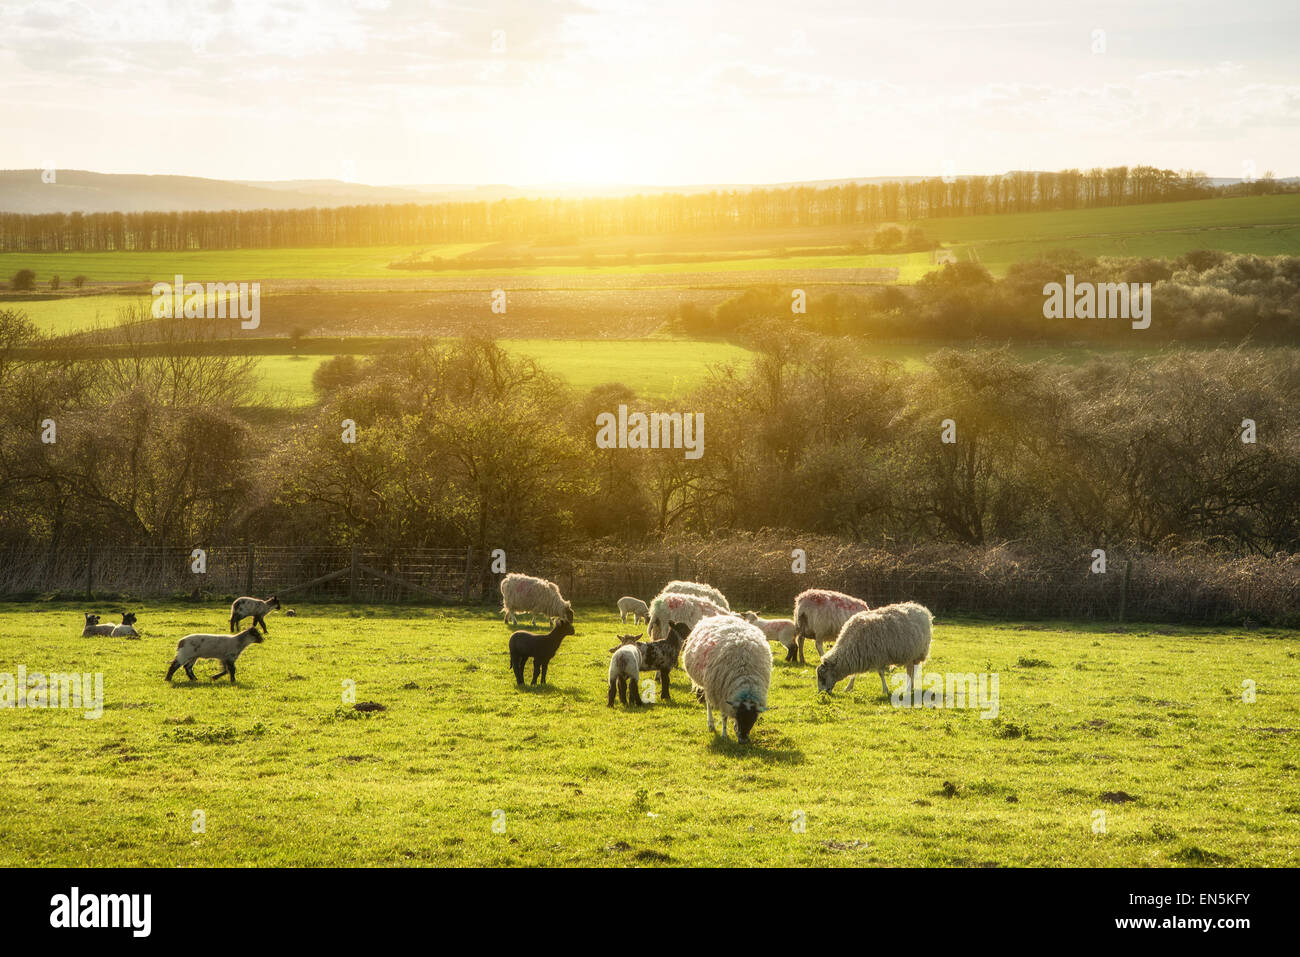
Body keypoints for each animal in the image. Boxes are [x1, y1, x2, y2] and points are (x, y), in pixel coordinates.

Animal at [682, 614, 772, 743]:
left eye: (754, 719)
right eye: (740, 716)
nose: (743, 741)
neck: (746, 677)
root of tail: (717, 616)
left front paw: (735, 728)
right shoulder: (721, 694)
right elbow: (724, 716)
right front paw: (725, 734)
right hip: (708, 685)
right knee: (708, 703)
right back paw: (711, 724)